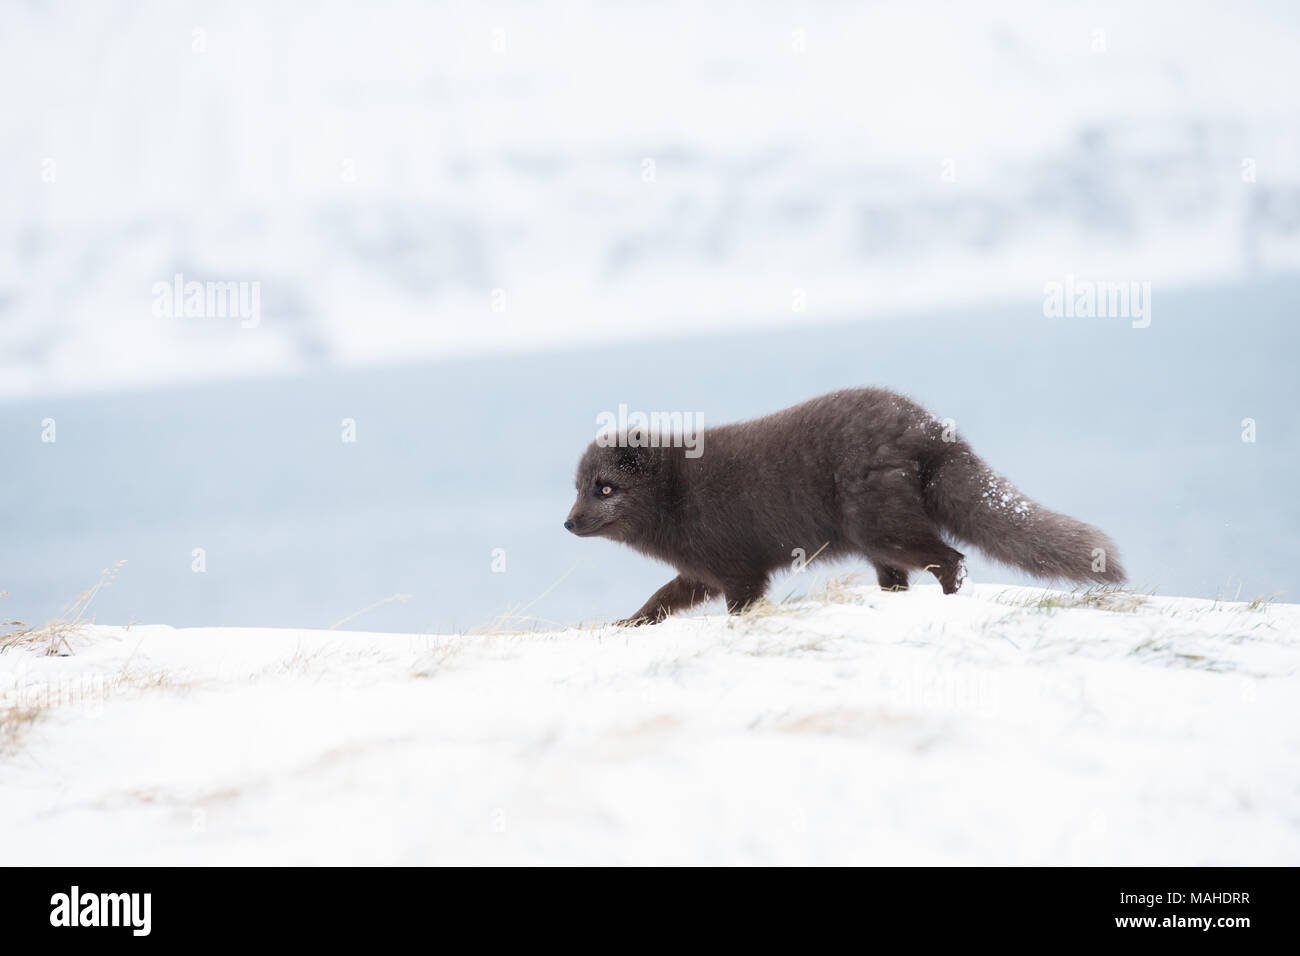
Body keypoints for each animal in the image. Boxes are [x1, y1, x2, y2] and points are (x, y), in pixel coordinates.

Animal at [565, 388, 1125, 626]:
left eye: (605, 488)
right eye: (576, 487)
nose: (568, 524)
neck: (677, 493)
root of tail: (929, 428)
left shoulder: (741, 573)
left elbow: (740, 610)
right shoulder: (702, 573)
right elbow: (660, 599)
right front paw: (627, 625)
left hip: (882, 528)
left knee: (953, 560)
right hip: (878, 544)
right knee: (905, 577)